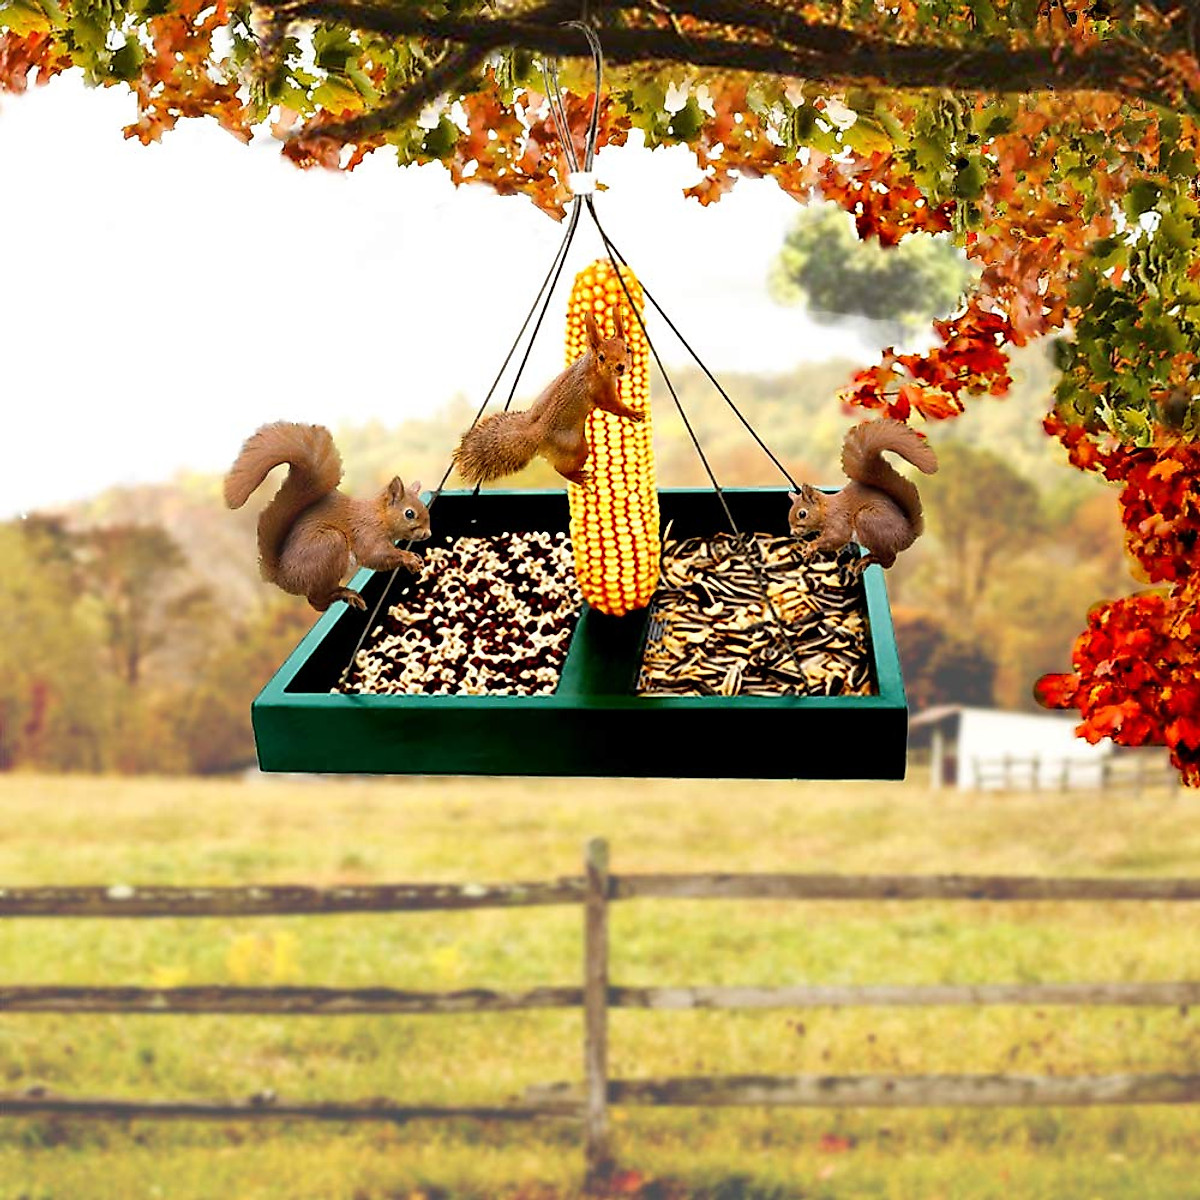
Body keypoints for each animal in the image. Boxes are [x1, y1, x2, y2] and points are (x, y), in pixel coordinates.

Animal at [224, 421, 431, 612]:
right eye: (409, 513)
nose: (427, 534)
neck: (379, 516)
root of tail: (282, 577)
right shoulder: (367, 533)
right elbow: (375, 555)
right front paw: (408, 557)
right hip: (330, 546)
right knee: (317, 602)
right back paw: (344, 594)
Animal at [453, 308, 643, 487]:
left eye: (628, 349)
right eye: (602, 357)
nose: (620, 367)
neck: (593, 367)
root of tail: (536, 436)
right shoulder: (599, 392)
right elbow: (613, 406)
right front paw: (633, 413)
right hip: (576, 448)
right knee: (560, 468)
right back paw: (577, 477)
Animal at [788, 417, 938, 571]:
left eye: (802, 514)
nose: (792, 533)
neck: (826, 510)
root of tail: (908, 535)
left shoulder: (838, 521)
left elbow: (837, 537)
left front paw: (812, 546)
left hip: (868, 522)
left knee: (889, 561)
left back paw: (866, 560)